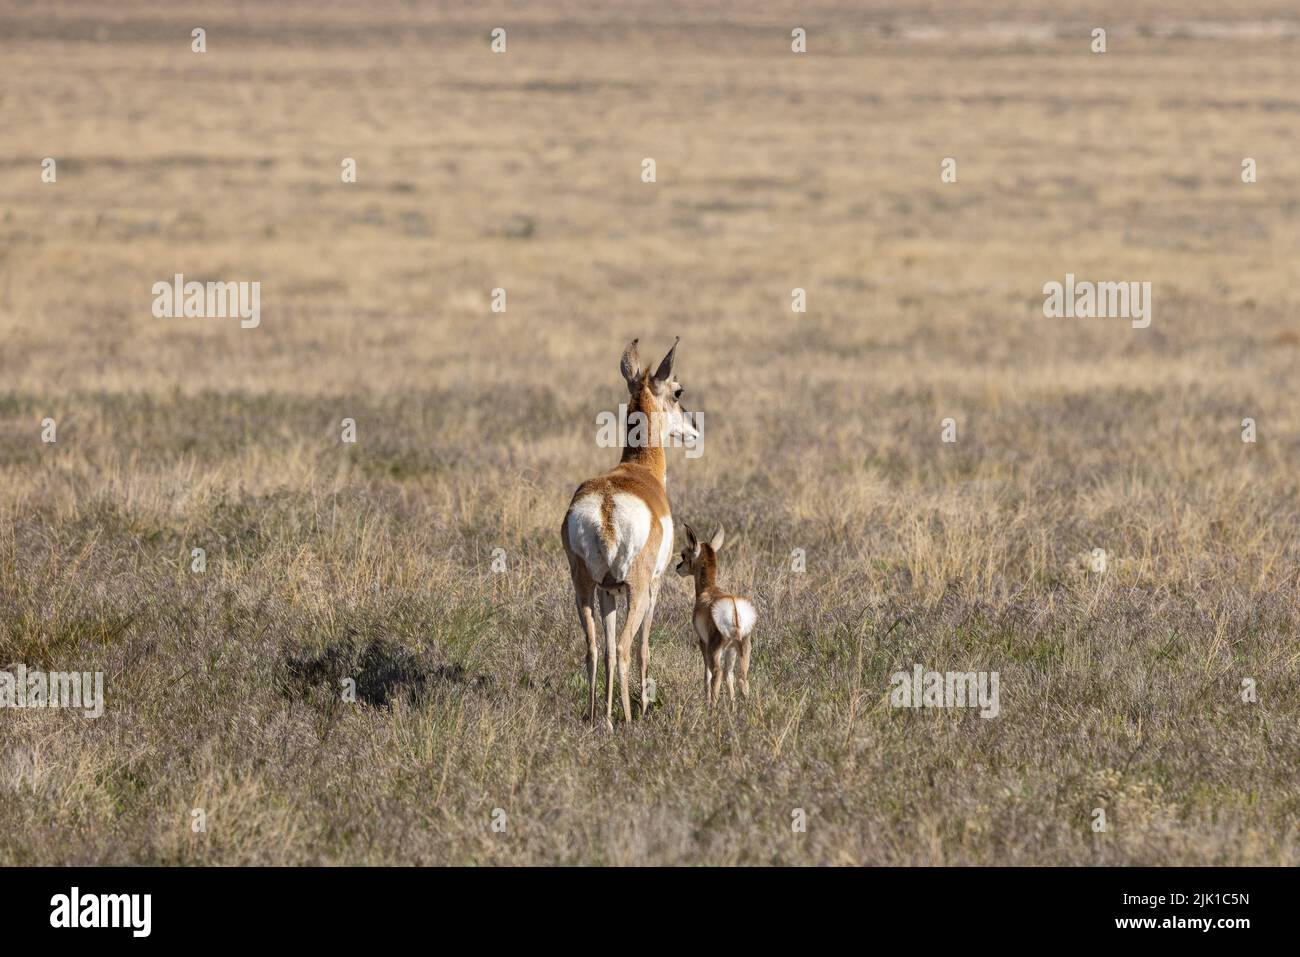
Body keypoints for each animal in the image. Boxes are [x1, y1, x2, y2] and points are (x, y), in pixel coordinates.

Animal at [561, 337, 699, 729]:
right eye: (678, 390)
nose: (693, 429)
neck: (637, 470)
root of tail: (606, 503)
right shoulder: (654, 587)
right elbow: (643, 648)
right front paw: (641, 708)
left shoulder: (608, 591)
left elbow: (606, 649)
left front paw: (606, 715)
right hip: (637, 591)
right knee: (625, 647)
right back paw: (629, 718)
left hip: (584, 589)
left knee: (594, 649)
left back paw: (599, 717)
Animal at [676, 524, 756, 708]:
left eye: (684, 554)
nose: (678, 567)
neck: (708, 590)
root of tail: (733, 606)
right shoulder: (730, 649)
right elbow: (729, 675)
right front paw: (732, 705)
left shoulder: (703, 643)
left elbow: (707, 674)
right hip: (741, 647)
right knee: (741, 677)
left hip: (716, 648)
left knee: (717, 673)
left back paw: (711, 708)